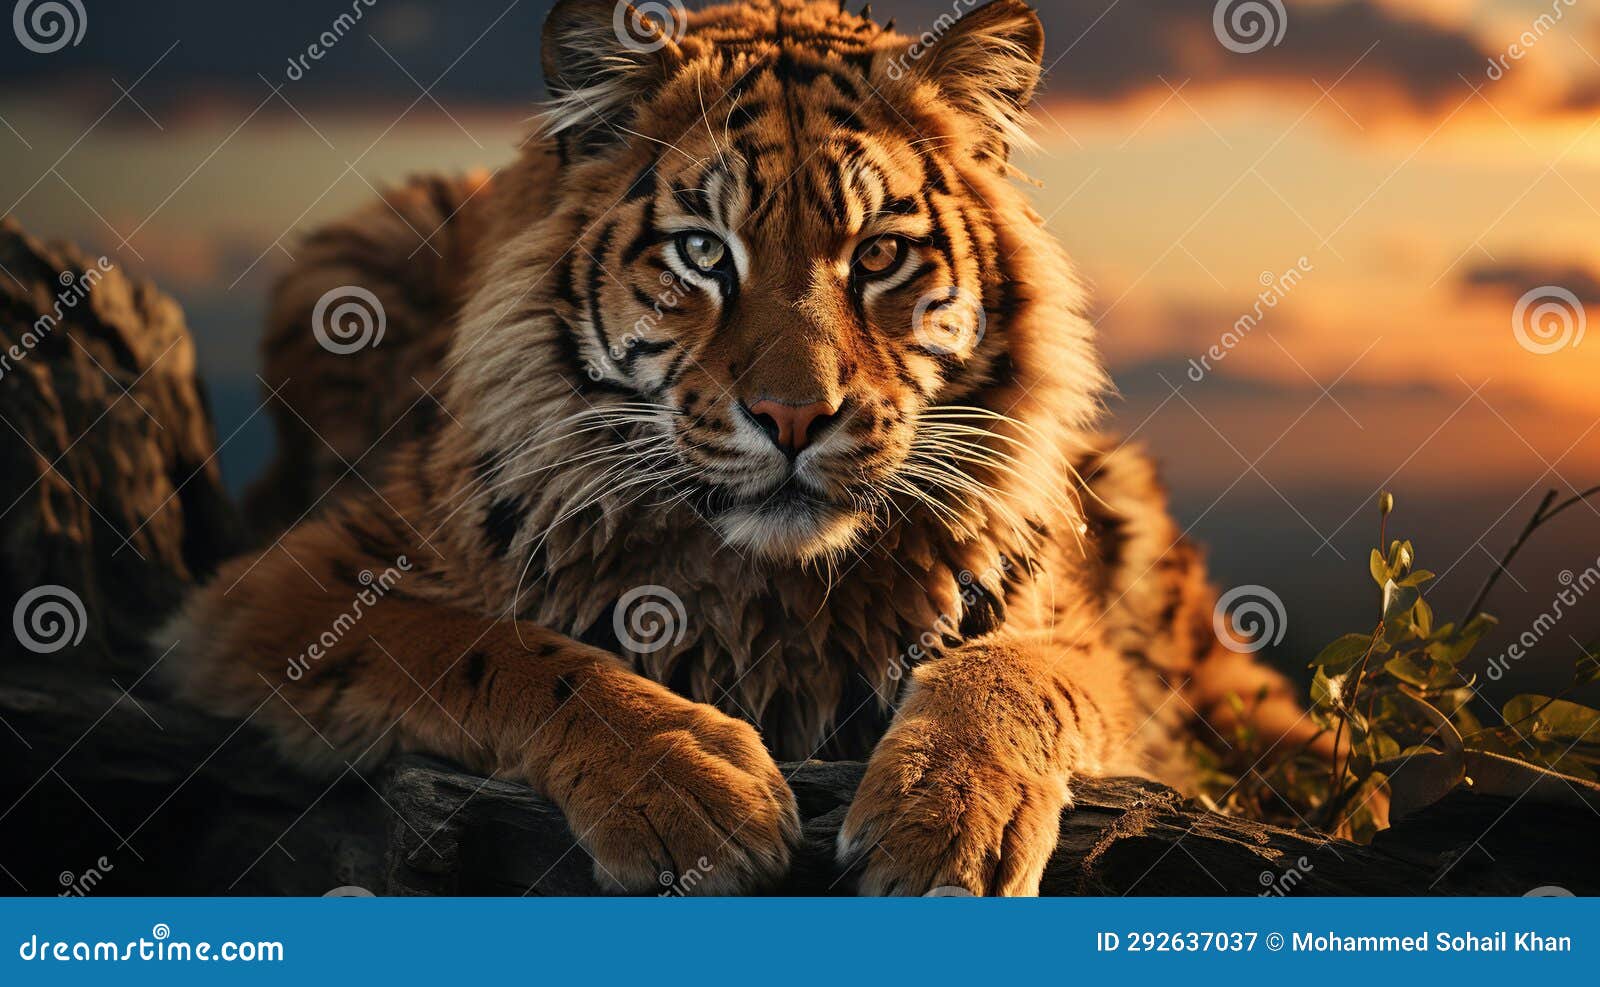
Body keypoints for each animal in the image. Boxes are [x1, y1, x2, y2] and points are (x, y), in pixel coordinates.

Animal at [162, 0, 1330, 895]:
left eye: (880, 256)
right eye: (701, 253)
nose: (795, 417)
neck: (772, 585)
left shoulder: (1079, 638)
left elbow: (1004, 675)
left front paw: (942, 823)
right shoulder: (289, 589)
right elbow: (496, 648)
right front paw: (688, 793)